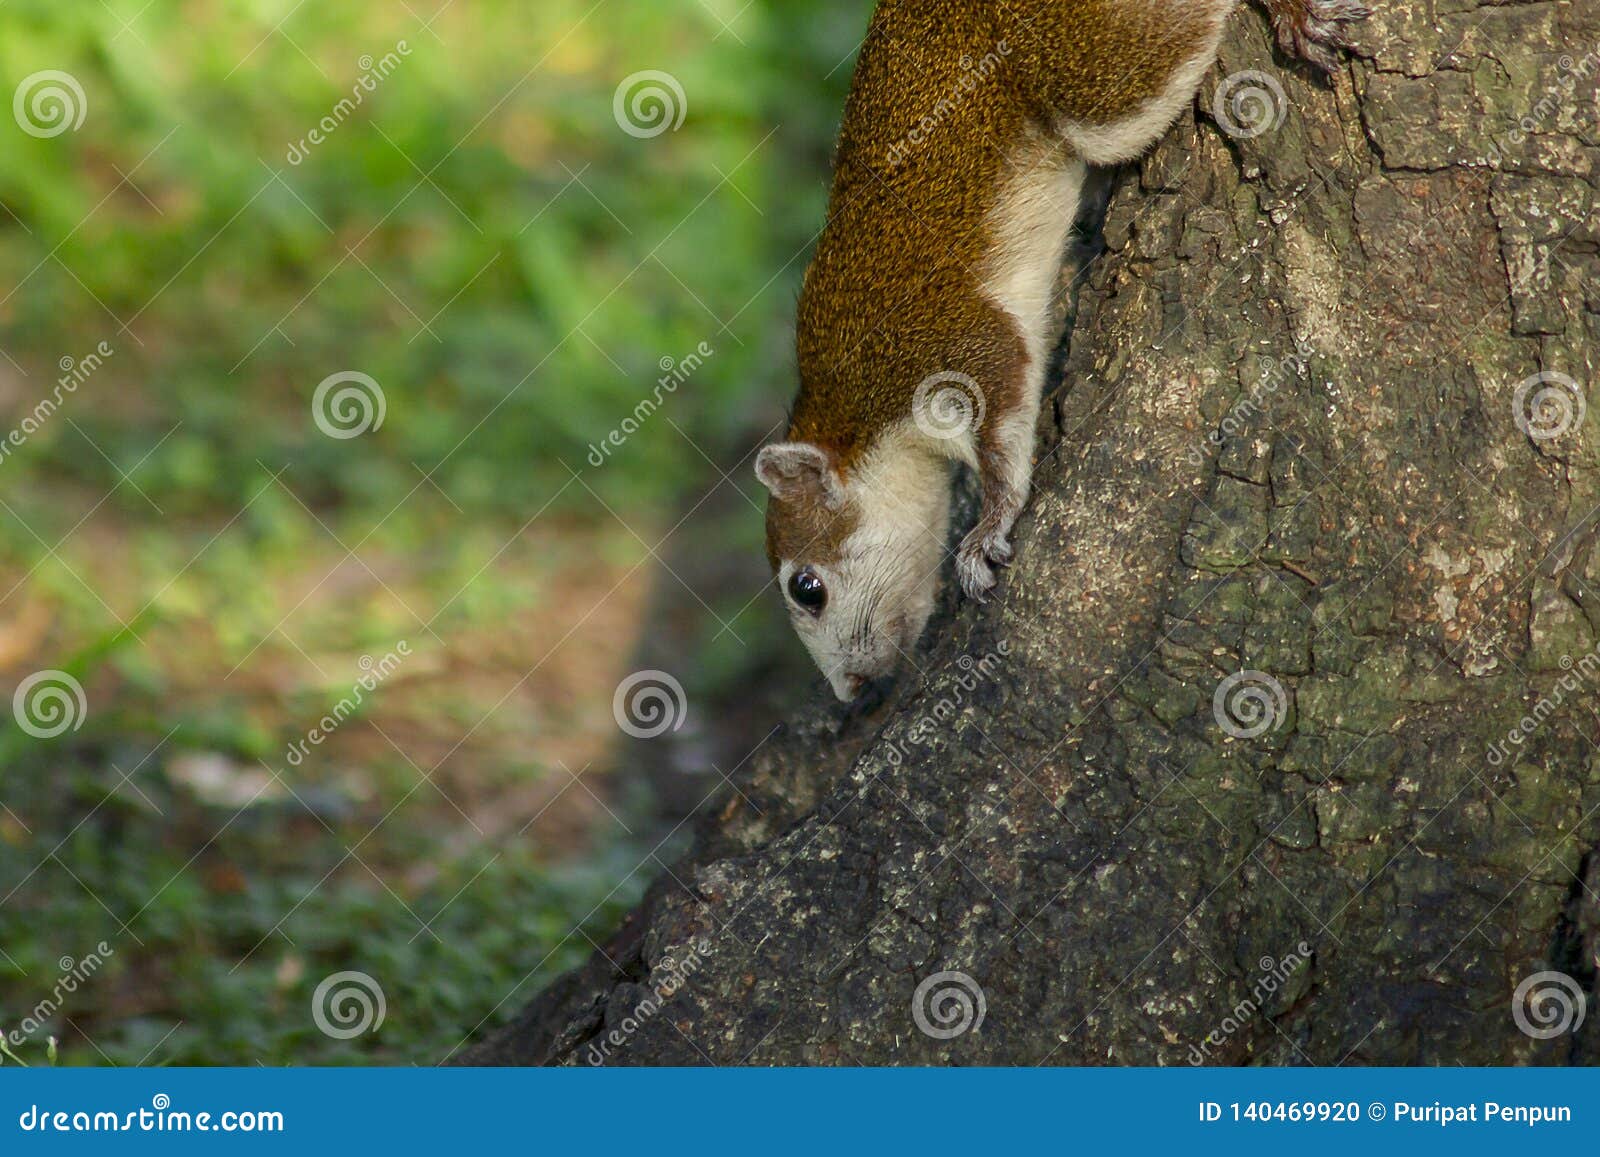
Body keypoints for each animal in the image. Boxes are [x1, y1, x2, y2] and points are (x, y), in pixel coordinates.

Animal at [755, 0, 1368, 701]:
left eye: (808, 588)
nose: (855, 692)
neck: (849, 409)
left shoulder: (937, 347)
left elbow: (1001, 421)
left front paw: (987, 530)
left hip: (1082, 69)